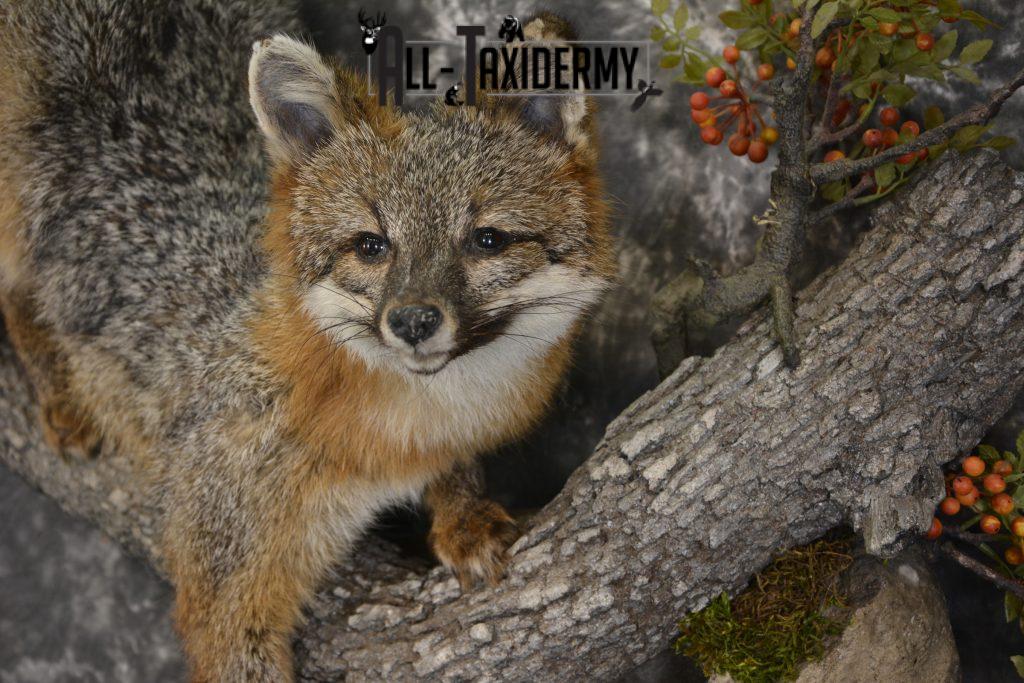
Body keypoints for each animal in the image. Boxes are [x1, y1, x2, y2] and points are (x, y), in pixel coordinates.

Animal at [0, 1, 614, 680]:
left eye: (486, 241)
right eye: (371, 246)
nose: (413, 320)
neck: (403, 432)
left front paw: (463, 510)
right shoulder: (225, 575)